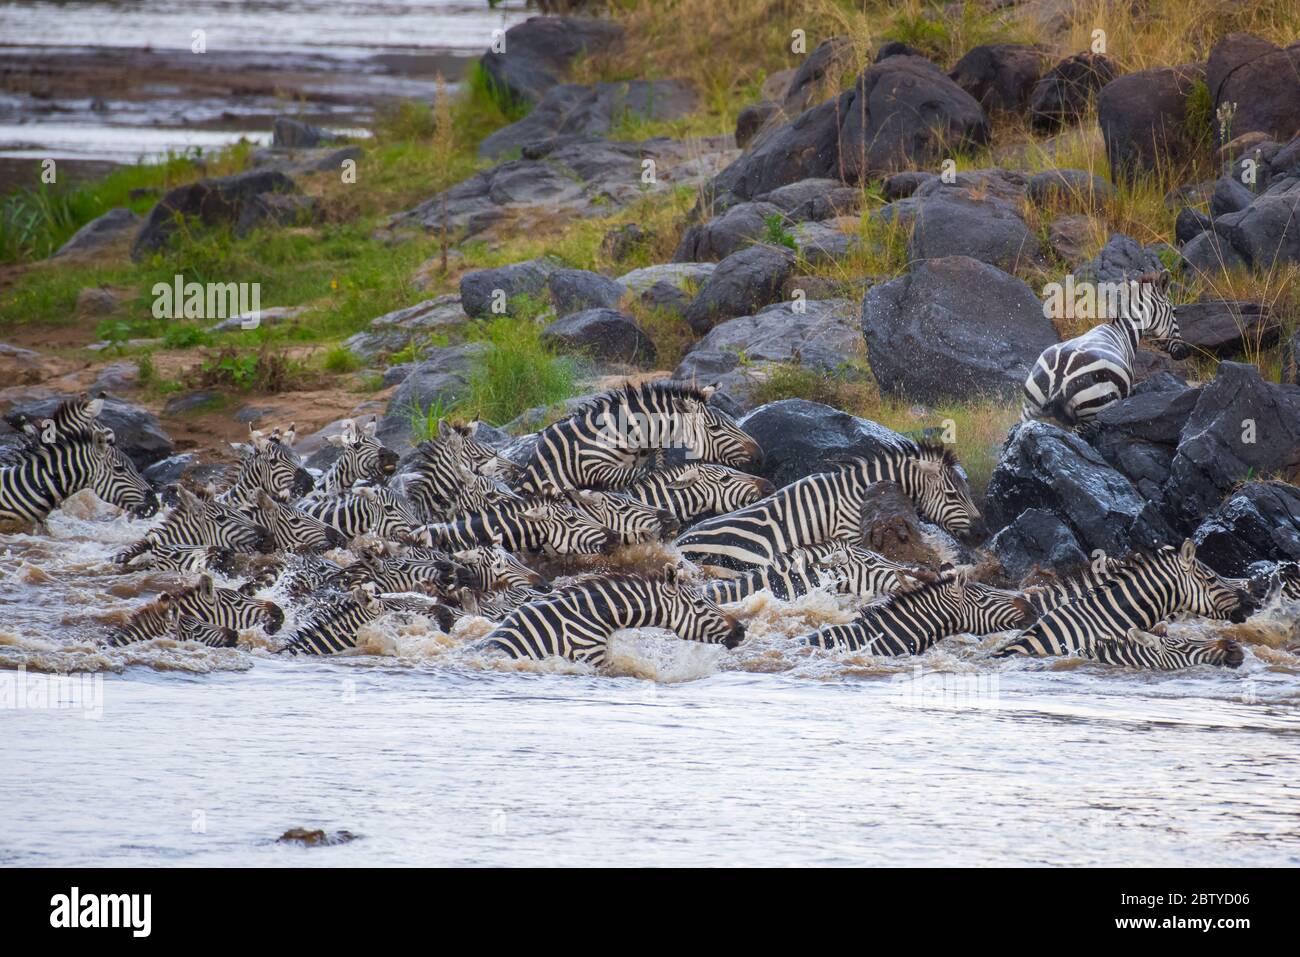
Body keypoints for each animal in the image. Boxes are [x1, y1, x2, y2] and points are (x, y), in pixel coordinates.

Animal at [675, 438, 982, 571]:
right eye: (952, 494)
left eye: (967, 490)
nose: (983, 533)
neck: (856, 491)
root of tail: (678, 542)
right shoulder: (849, 535)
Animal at [1022, 270, 1189, 431]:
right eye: (1174, 312)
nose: (1185, 352)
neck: (1123, 332)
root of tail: (1059, 380)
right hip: (1095, 410)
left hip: (1029, 409)